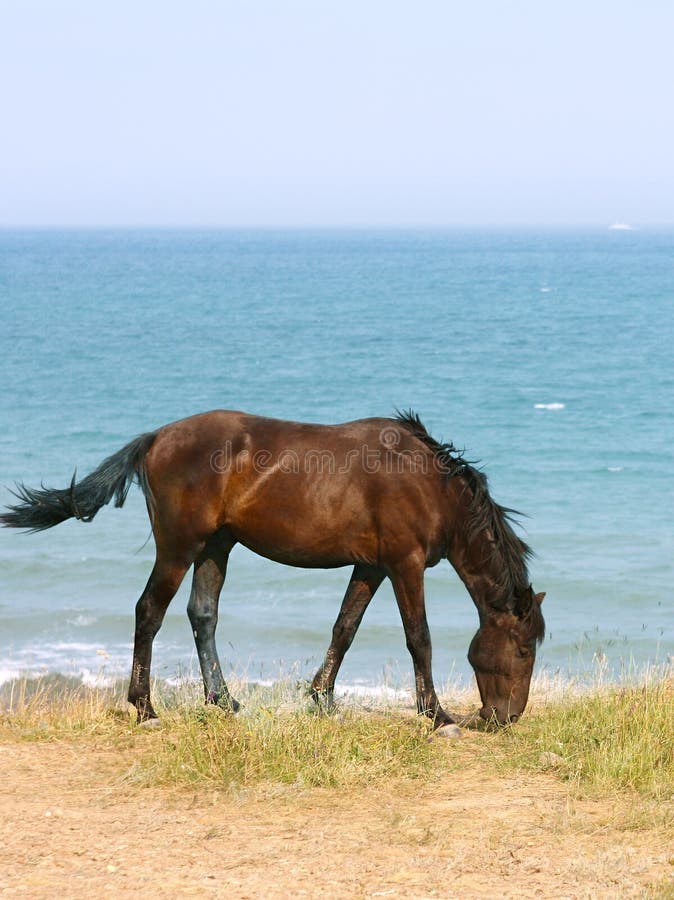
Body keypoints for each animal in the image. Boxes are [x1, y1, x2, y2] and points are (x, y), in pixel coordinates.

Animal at [1, 410, 545, 727]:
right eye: (522, 649)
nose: (507, 717)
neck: (427, 483)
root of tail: (155, 438)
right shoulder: (403, 564)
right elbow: (419, 638)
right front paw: (437, 715)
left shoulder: (370, 567)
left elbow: (345, 628)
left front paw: (322, 698)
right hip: (179, 548)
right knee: (148, 612)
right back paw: (145, 708)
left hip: (216, 546)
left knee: (202, 615)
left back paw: (222, 700)